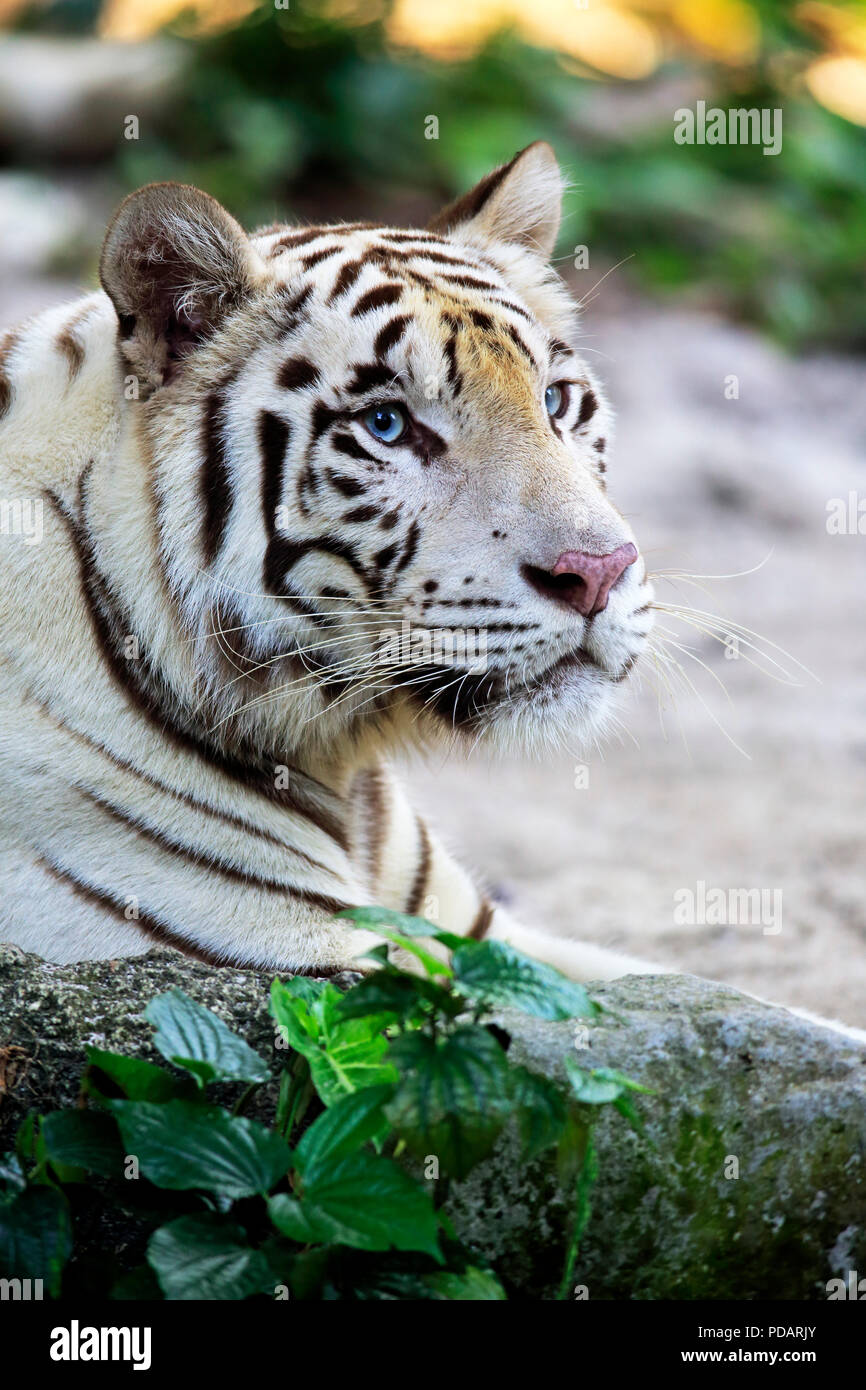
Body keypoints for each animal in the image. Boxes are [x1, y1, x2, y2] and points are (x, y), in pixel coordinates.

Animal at [0, 141, 701, 982]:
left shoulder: (482, 938)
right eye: (388, 425)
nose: (598, 573)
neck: (340, 755)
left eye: (556, 401)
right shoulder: (305, 968)